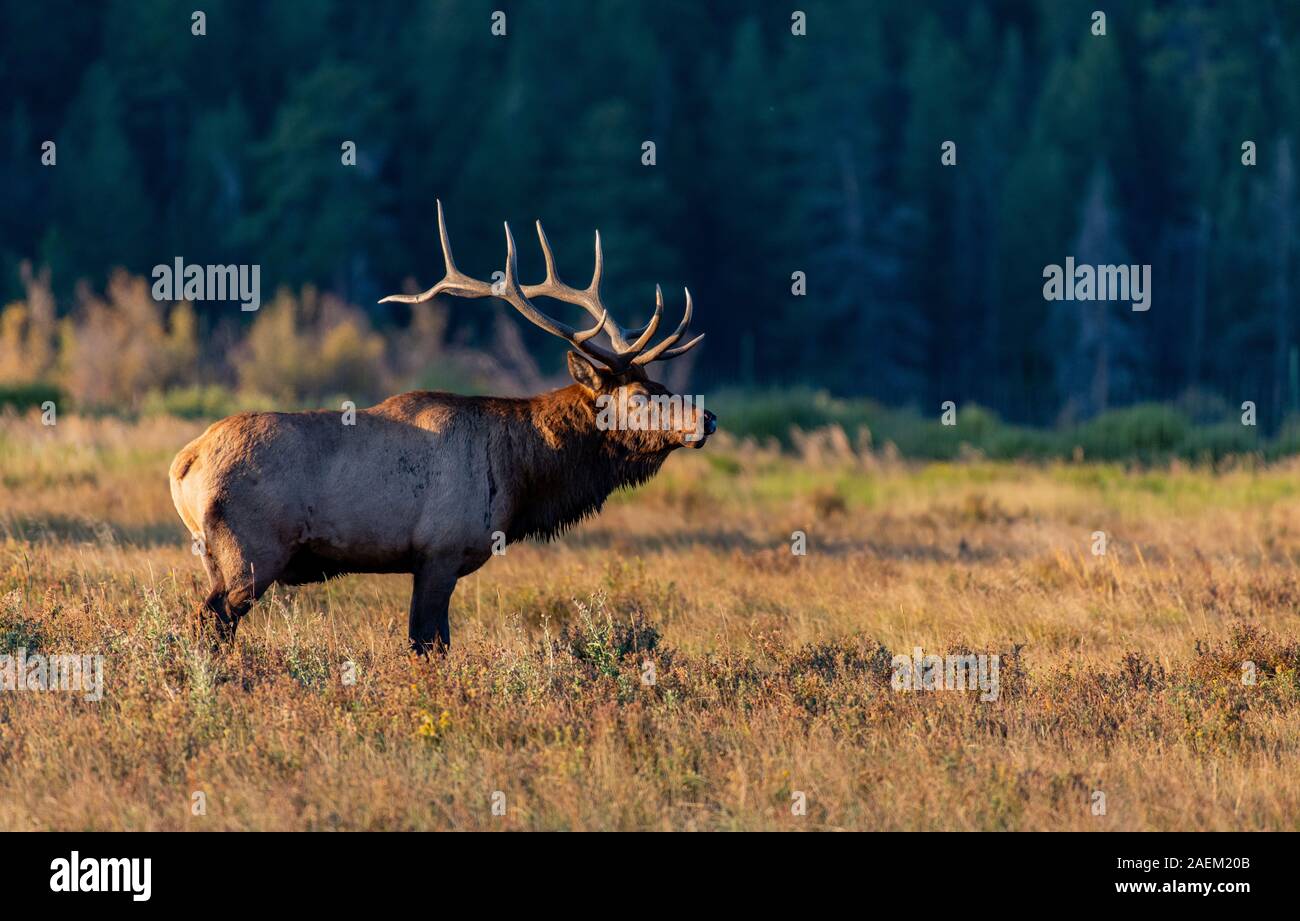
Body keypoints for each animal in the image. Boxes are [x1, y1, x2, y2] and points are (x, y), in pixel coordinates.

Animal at [169, 202, 716, 654]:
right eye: (640, 394)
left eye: (660, 381)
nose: (707, 417)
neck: (520, 473)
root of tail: (183, 463)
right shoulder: (440, 551)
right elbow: (429, 644)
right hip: (250, 553)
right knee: (209, 622)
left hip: (215, 554)